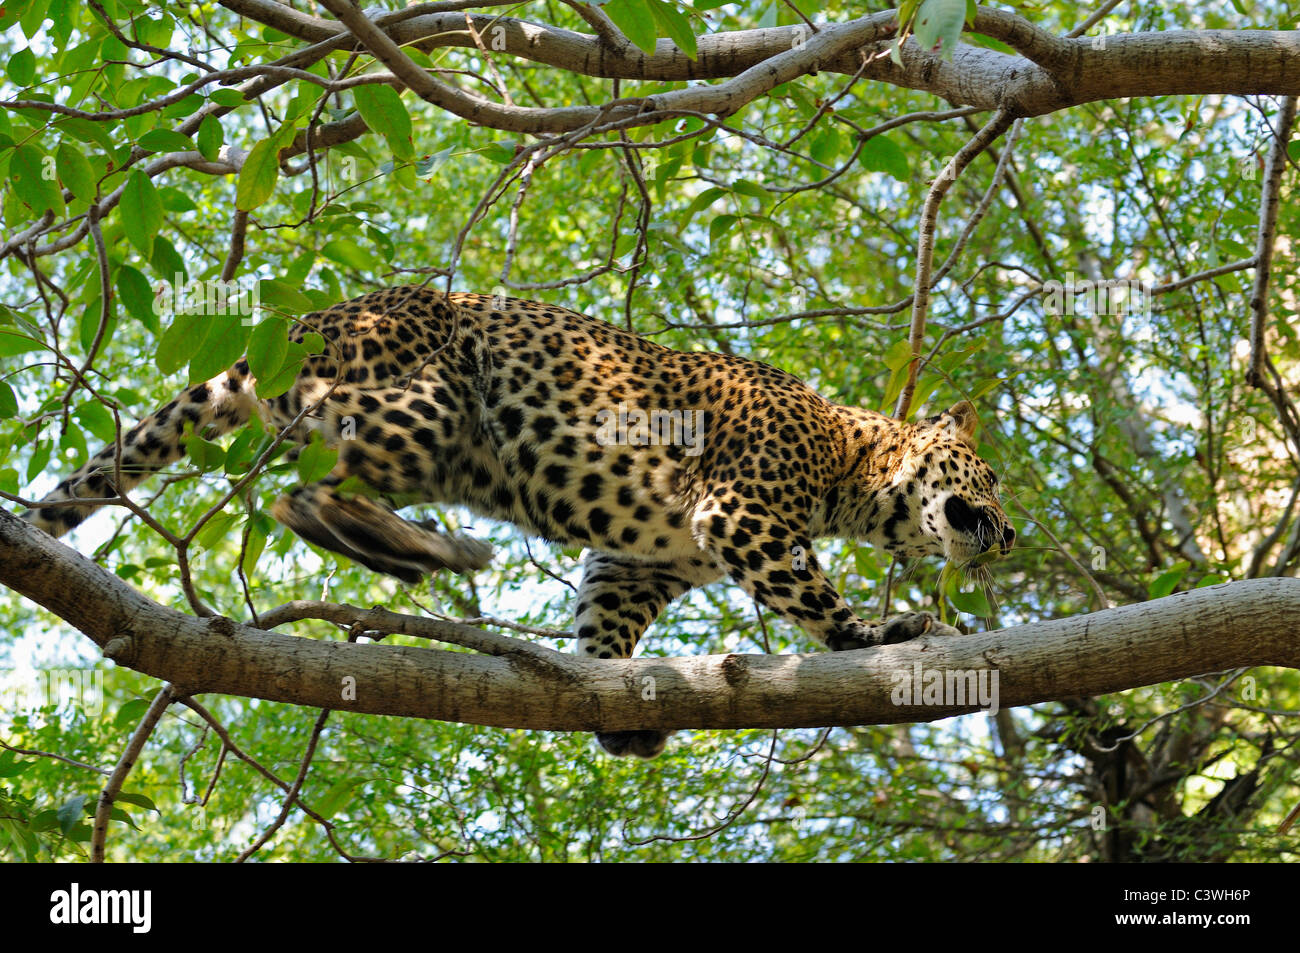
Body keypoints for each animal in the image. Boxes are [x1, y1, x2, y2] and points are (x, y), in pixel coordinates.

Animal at [25, 285, 1014, 758]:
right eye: (994, 476)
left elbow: (604, 621)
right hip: (429, 396)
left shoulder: (642, 560)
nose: (1009, 536)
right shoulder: (740, 510)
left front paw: (612, 701)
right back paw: (428, 547)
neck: (854, 466)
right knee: (307, 490)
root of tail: (305, 319)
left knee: (301, 490)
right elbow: (813, 595)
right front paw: (879, 634)